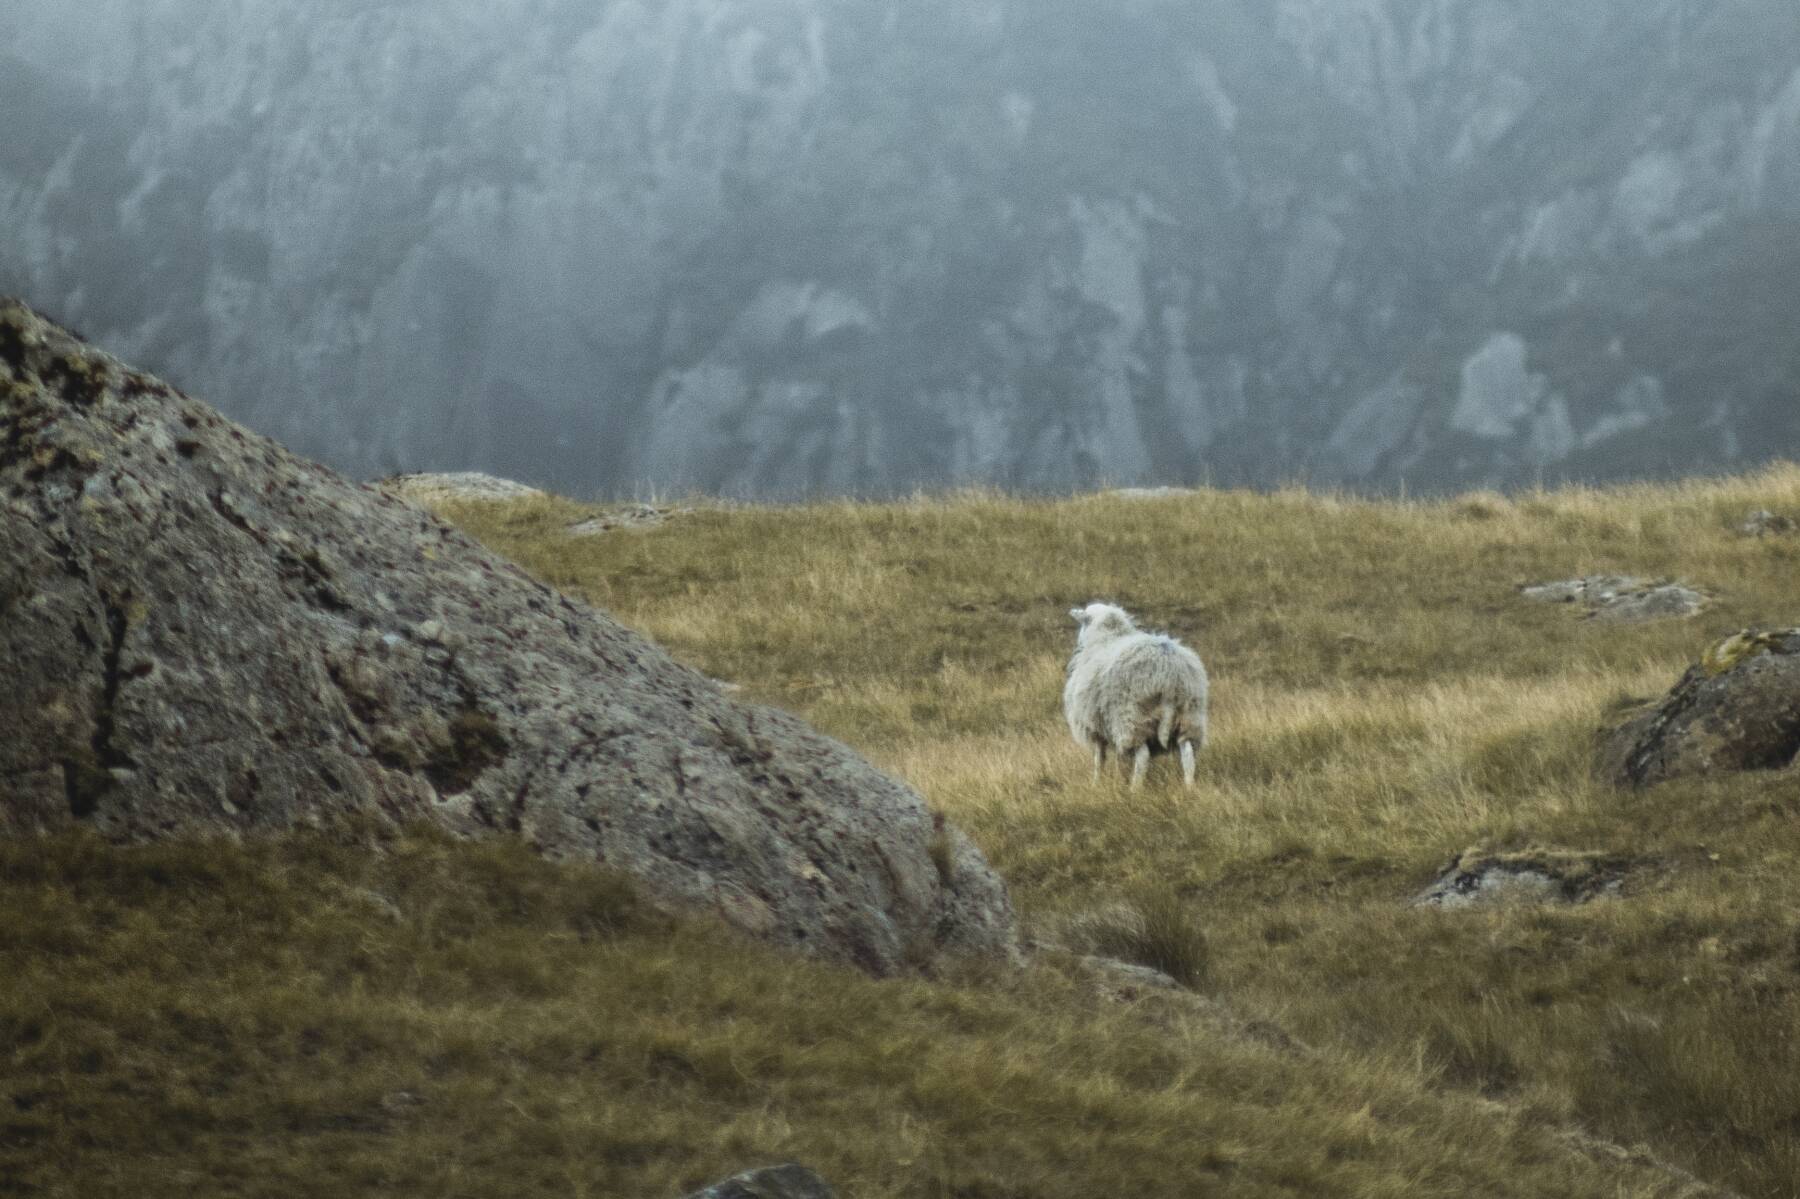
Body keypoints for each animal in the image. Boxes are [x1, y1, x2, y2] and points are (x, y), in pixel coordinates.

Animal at [1063, 602, 1209, 789]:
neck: (1107, 638)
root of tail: (1169, 677)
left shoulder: (1095, 725)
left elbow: (1099, 758)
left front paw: (1096, 783)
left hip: (1131, 719)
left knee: (1143, 756)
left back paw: (1135, 788)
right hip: (1189, 715)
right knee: (1188, 754)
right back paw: (1189, 786)